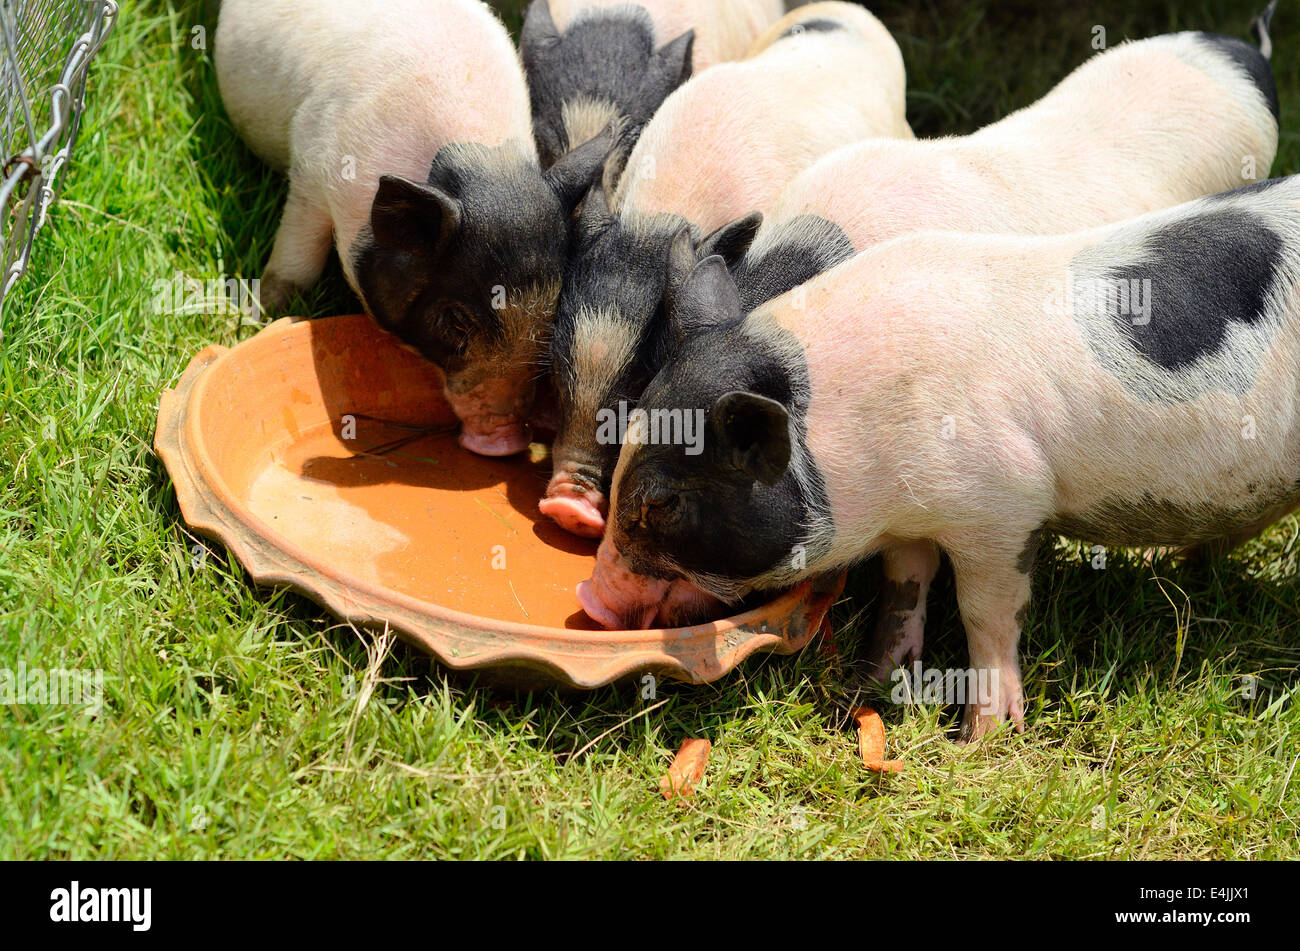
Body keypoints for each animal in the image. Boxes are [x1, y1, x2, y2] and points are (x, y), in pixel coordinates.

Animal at [215, 0, 610, 456]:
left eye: (550, 318)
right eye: (457, 322)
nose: (507, 442)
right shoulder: (312, 168)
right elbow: (298, 258)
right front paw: (261, 314)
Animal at [579, 172, 1300, 739]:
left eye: (664, 501)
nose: (590, 597)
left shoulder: (1005, 505)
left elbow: (985, 610)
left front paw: (980, 736)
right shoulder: (911, 517)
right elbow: (905, 584)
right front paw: (870, 684)